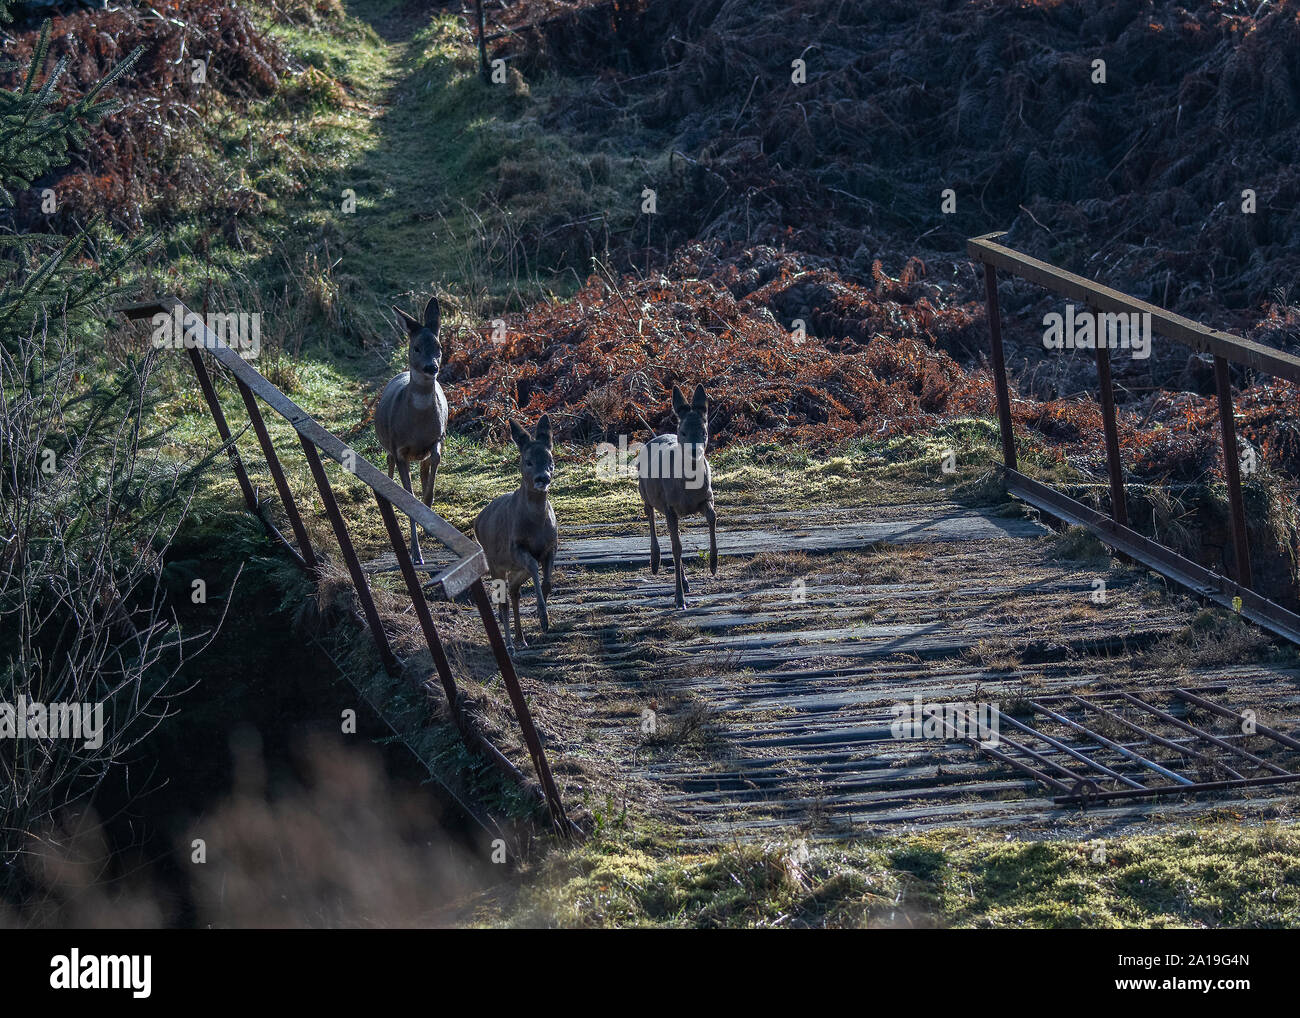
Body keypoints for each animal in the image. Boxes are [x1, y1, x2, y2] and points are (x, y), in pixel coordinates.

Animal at [375, 296, 448, 564]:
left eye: (439, 346)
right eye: (416, 347)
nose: (431, 367)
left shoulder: (438, 436)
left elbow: (434, 460)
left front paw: (428, 506)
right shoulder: (399, 449)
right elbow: (409, 497)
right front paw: (416, 554)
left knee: (425, 467)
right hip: (388, 445)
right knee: (388, 465)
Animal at [474, 415, 557, 648]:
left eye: (550, 459)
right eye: (528, 461)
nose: (542, 478)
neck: (536, 526)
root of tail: (478, 520)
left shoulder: (552, 547)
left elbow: (547, 582)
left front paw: (542, 616)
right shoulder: (516, 547)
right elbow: (535, 569)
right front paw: (543, 617)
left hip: (515, 569)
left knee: (513, 592)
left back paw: (521, 638)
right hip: (495, 563)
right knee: (503, 601)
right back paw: (510, 645)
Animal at [638, 384, 716, 609]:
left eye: (704, 431)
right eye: (683, 431)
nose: (695, 451)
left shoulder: (707, 497)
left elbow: (712, 517)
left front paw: (713, 564)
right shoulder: (670, 506)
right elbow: (676, 548)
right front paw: (679, 599)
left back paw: (686, 582)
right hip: (645, 491)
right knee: (650, 514)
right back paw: (655, 563)